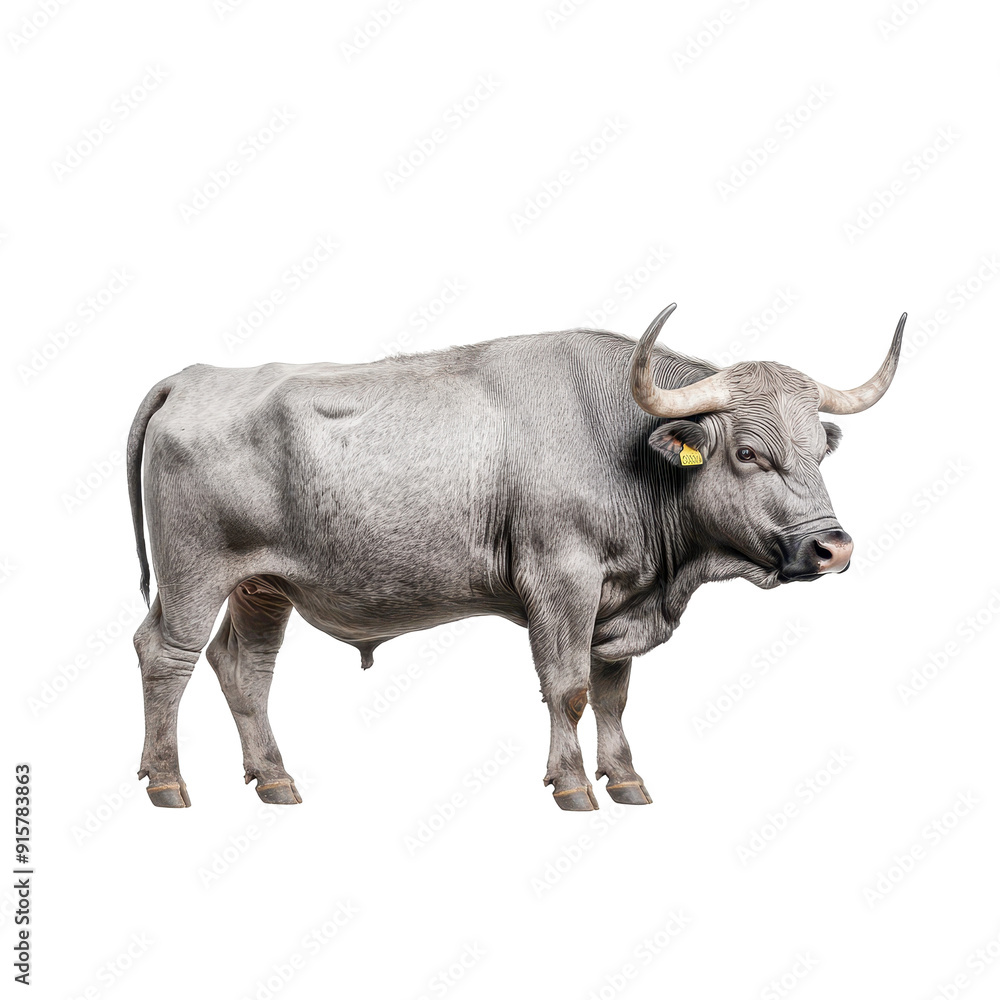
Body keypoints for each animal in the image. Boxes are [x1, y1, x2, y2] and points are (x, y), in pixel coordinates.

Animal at [127, 303, 905, 810]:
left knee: (245, 669)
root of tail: (193, 378)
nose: (831, 546)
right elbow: (569, 688)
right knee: (167, 656)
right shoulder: (561, 586)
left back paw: (276, 780)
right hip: (194, 579)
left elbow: (613, 693)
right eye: (747, 452)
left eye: (819, 448)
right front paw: (574, 787)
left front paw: (627, 781)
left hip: (263, 587)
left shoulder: (616, 603)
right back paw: (168, 783)